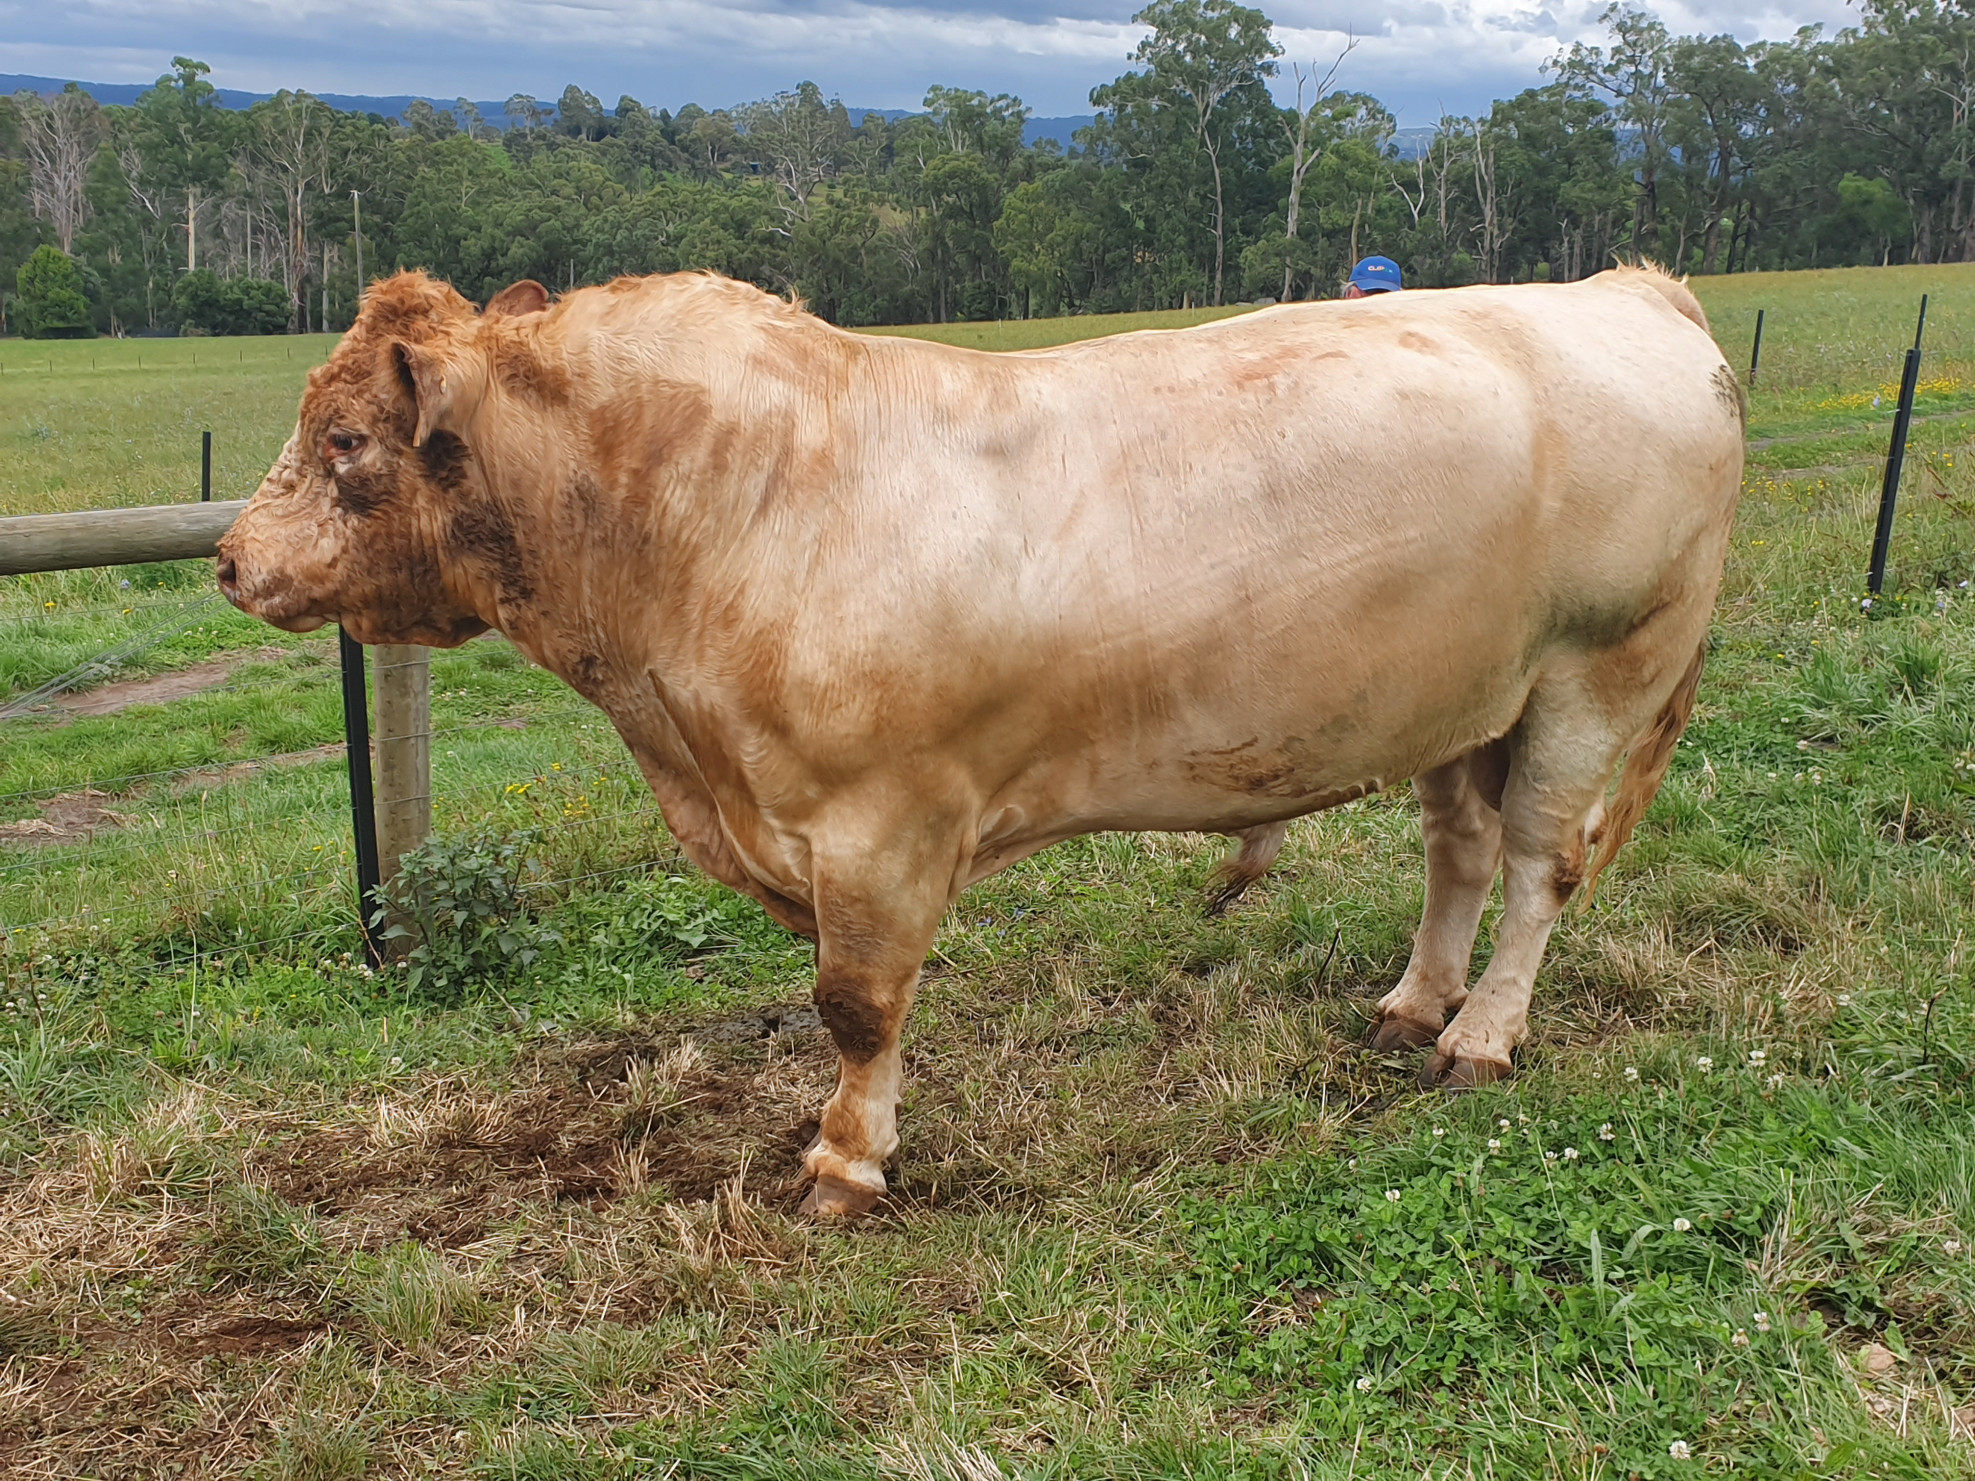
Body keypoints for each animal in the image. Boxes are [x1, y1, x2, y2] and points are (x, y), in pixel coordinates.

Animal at [219, 265, 1743, 1217]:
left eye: (344, 438)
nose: (230, 560)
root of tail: (1622, 289)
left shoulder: (876, 823)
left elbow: (855, 1005)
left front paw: (845, 1162)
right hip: (1464, 696)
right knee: (1459, 851)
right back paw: (1414, 1001)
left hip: (1600, 668)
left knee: (1540, 864)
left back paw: (1480, 1036)